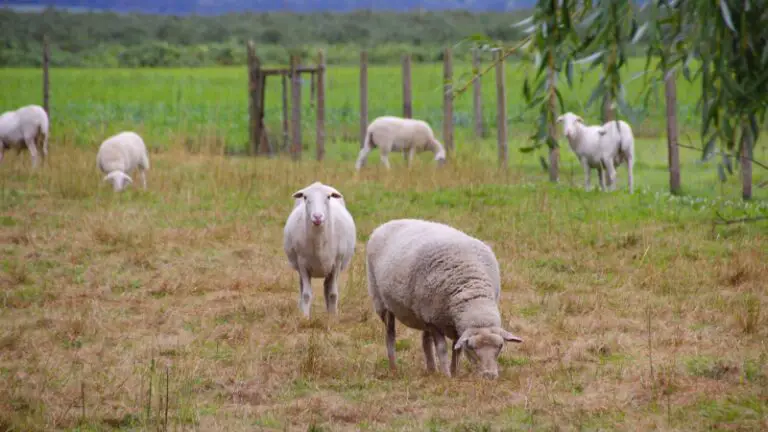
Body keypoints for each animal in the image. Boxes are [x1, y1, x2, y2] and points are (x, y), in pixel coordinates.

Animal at [283, 181, 357, 319]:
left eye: (328, 197)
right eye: (305, 197)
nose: (317, 217)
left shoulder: (336, 264)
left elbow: (333, 293)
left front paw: (332, 318)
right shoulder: (302, 265)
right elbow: (306, 295)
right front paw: (305, 317)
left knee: (327, 289)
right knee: (302, 289)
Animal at [365, 218, 522, 380]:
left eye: (501, 346)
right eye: (471, 347)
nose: (489, 376)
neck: (473, 293)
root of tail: (388, 223)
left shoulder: (453, 324)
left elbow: (456, 349)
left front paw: (455, 372)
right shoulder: (435, 322)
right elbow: (442, 349)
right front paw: (447, 375)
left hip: (423, 312)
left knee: (425, 340)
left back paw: (431, 369)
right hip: (382, 301)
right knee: (390, 335)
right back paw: (394, 368)